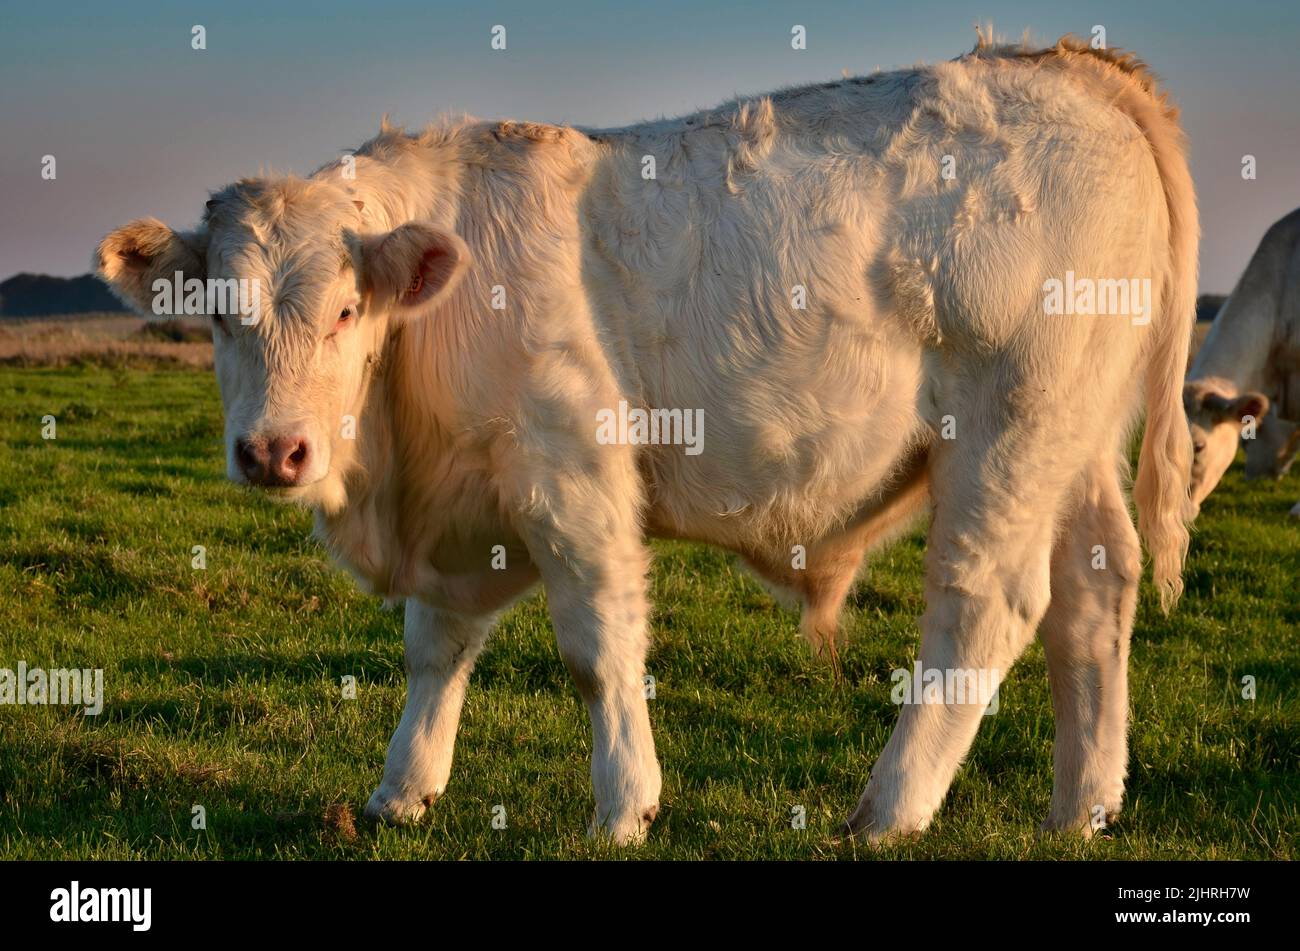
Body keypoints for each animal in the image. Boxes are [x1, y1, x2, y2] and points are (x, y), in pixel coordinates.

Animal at [95, 34, 1197, 844]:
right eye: (217, 313)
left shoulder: (571, 472)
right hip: (1075, 440)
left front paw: (624, 805)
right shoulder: (461, 502)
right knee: (1096, 593)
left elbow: (597, 647)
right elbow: (434, 648)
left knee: (985, 608)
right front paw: (401, 790)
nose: (273, 452)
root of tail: (1059, 62)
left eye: (345, 311)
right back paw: (1080, 808)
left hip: (1009, 429)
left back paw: (888, 810)